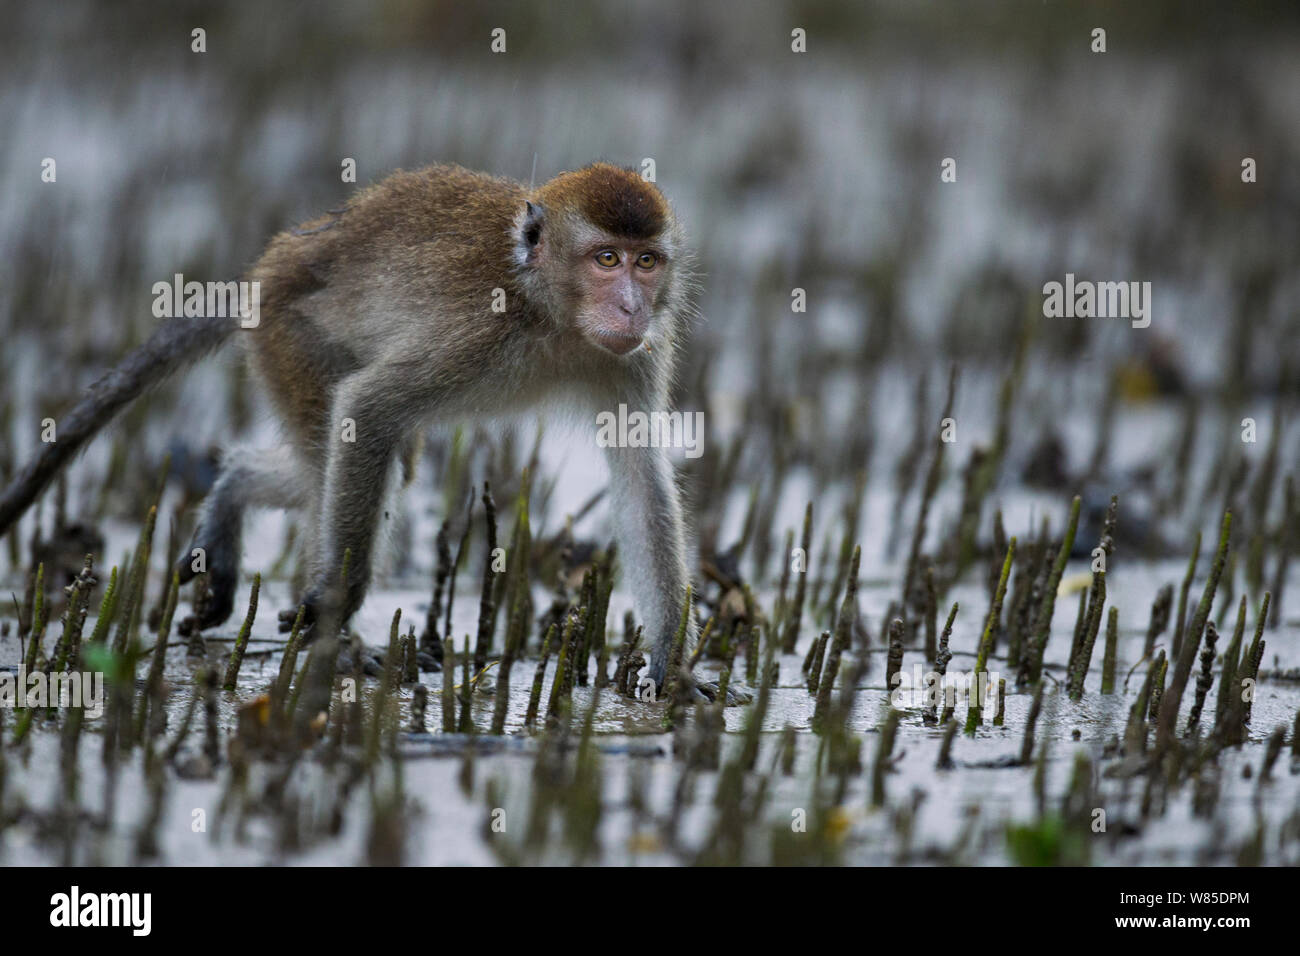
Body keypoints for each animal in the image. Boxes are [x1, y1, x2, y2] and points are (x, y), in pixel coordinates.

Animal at [0, 162, 700, 698]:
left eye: (645, 262)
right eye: (605, 259)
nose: (631, 306)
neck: (551, 312)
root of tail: (275, 262)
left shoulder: (640, 352)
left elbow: (640, 477)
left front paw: (669, 658)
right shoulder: (483, 330)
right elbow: (369, 411)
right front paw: (337, 602)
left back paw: (233, 489)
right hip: (289, 337)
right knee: (338, 452)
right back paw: (334, 641)